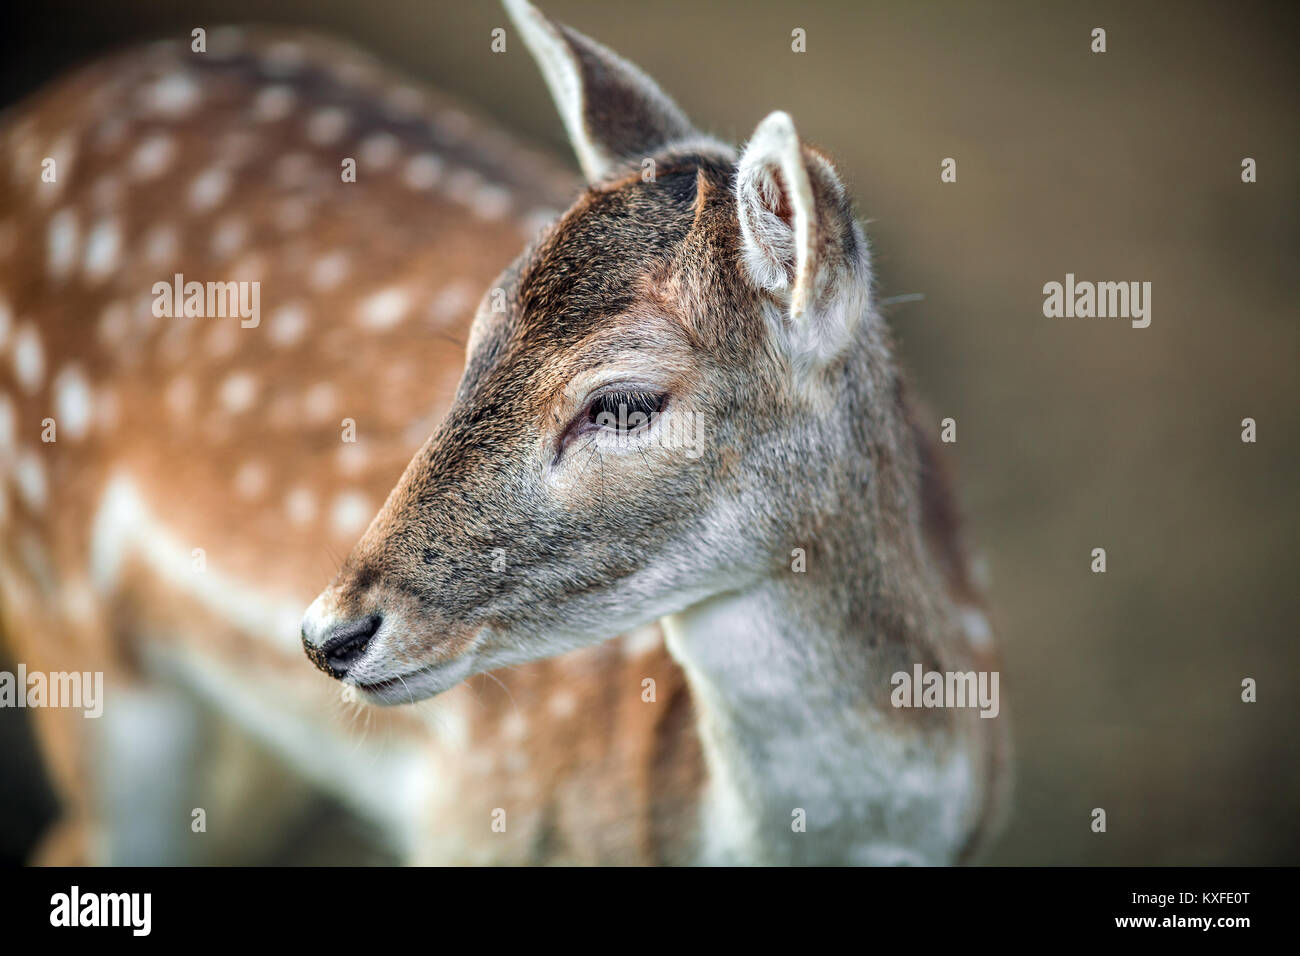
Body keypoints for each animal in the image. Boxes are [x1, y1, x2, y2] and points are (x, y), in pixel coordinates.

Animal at [0, 0, 1007, 865]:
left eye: (624, 401)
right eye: (480, 335)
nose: (332, 633)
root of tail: (46, 108)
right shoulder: (476, 821)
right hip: (66, 620)